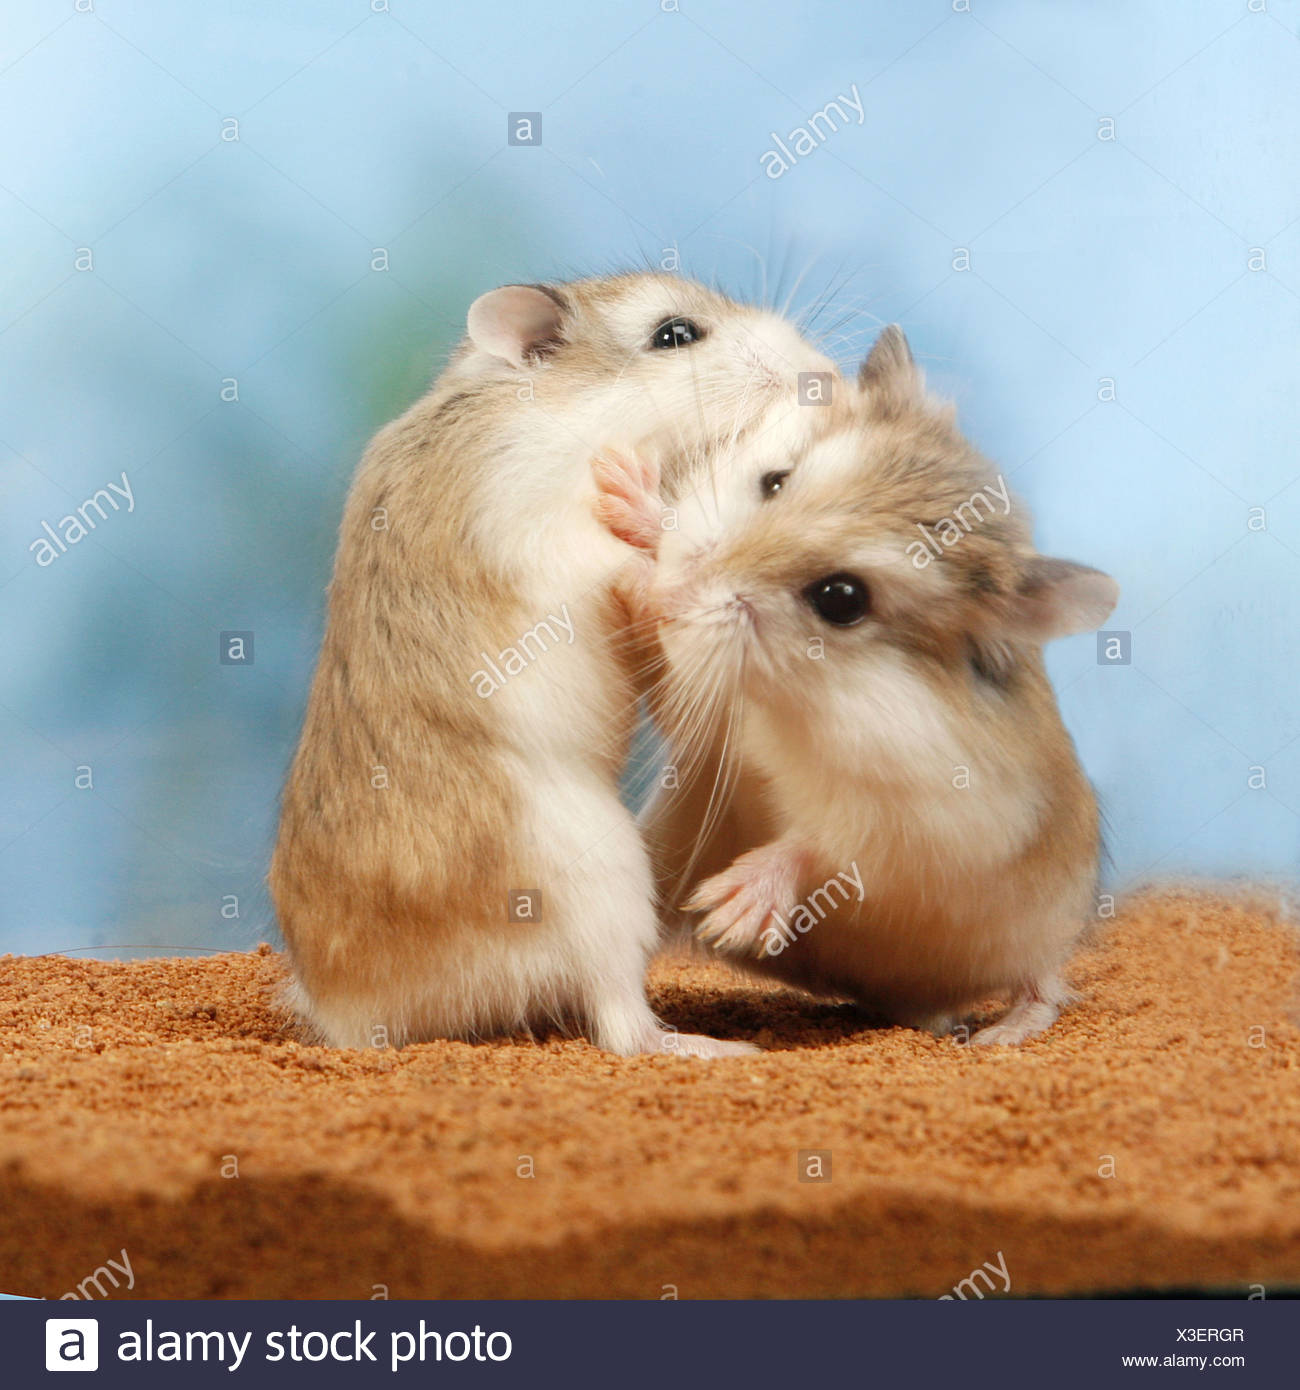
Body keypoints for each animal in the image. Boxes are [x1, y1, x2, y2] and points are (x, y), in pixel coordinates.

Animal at [269, 272, 837, 1056]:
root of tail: (355, 1013)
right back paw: (716, 1047)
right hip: (606, 881)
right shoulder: (544, 532)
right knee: (624, 1026)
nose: (825, 369)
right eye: (676, 335)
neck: (563, 411)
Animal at [590, 325, 1118, 1045]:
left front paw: (730, 912)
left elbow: (821, 846)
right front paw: (624, 499)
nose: (676, 593)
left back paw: (996, 1034)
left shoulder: (929, 822)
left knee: (1046, 984)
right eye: (774, 481)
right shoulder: (706, 717)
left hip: (1046, 931)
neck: (798, 692)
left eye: (841, 599)